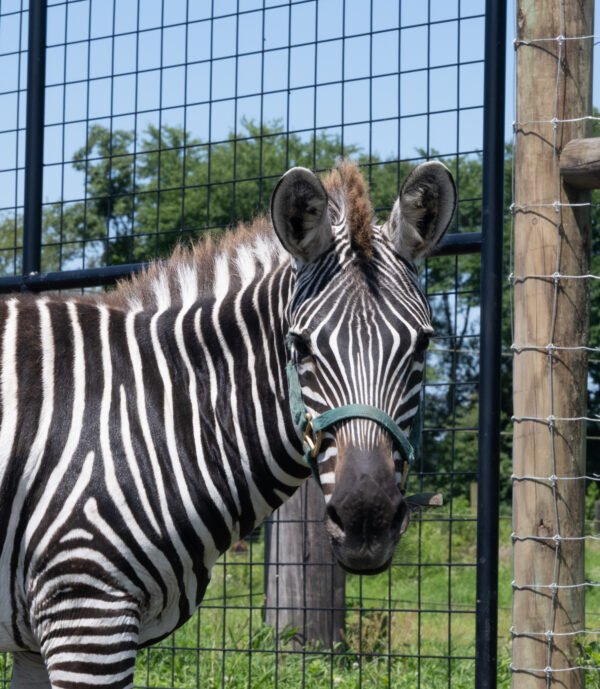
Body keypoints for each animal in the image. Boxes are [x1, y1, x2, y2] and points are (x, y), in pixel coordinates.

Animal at [0, 160, 455, 689]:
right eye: (300, 345)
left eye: (422, 344)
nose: (367, 520)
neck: (153, 413)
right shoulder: (86, 610)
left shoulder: (40, 639)